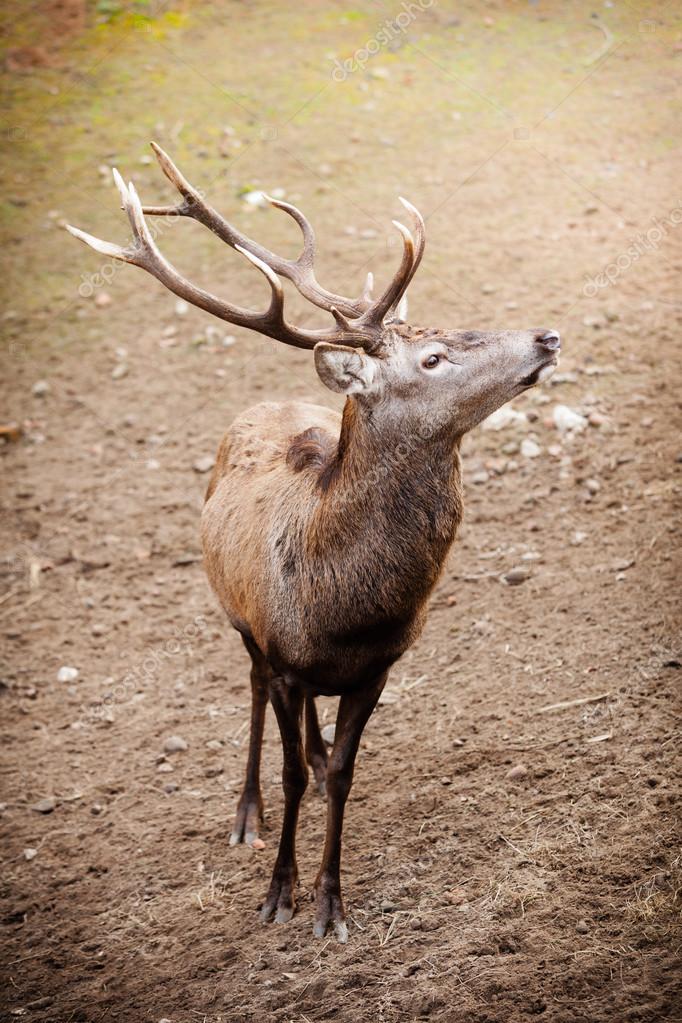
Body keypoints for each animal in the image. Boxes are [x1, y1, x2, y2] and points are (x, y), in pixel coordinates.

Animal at [68, 143, 561, 942]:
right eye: (431, 358)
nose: (547, 335)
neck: (342, 609)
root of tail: (265, 401)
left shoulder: (377, 670)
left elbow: (342, 775)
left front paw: (331, 900)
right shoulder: (281, 654)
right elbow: (294, 771)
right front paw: (279, 892)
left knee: (310, 740)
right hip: (239, 623)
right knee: (254, 698)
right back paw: (247, 813)